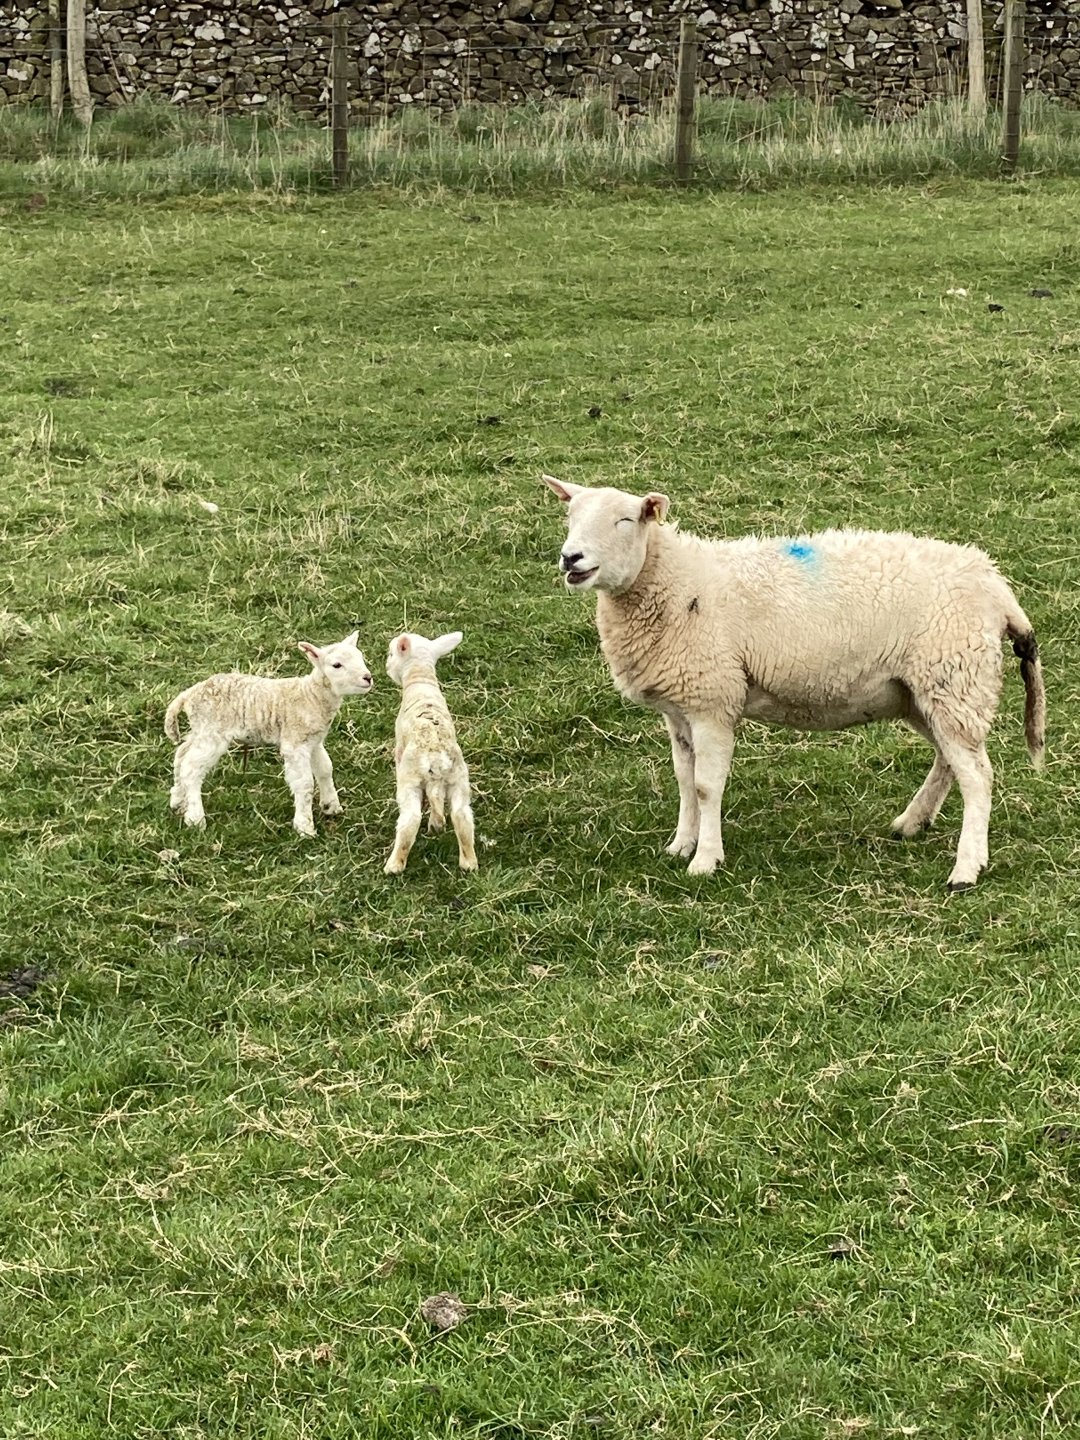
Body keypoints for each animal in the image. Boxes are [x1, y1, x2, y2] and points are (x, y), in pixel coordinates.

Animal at [164, 631, 373, 836]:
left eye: (360, 657)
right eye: (336, 665)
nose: (368, 677)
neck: (310, 696)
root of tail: (189, 694)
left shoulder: (314, 740)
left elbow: (325, 769)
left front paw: (331, 806)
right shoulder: (295, 743)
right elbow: (304, 783)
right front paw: (305, 827)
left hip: (200, 729)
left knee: (181, 755)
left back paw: (178, 801)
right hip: (212, 731)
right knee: (191, 768)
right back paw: (195, 818)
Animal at [384, 630, 478, 875]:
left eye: (391, 653)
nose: (387, 665)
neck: (421, 680)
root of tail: (436, 758)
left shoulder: (399, 748)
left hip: (410, 780)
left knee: (410, 820)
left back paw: (394, 865)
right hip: (458, 778)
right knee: (462, 816)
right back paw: (469, 863)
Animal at [542, 475, 1046, 891]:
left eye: (625, 520)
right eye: (570, 517)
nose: (571, 557)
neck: (677, 582)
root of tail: (996, 583)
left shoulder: (713, 700)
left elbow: (706, 785)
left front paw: (706, 860)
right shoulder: (680, 706)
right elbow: (684, 780)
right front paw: (681, 844)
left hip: (953, 674)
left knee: (977, 776)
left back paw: (966, 867)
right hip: (923, 690)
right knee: (949, 759)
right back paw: (912, 822)